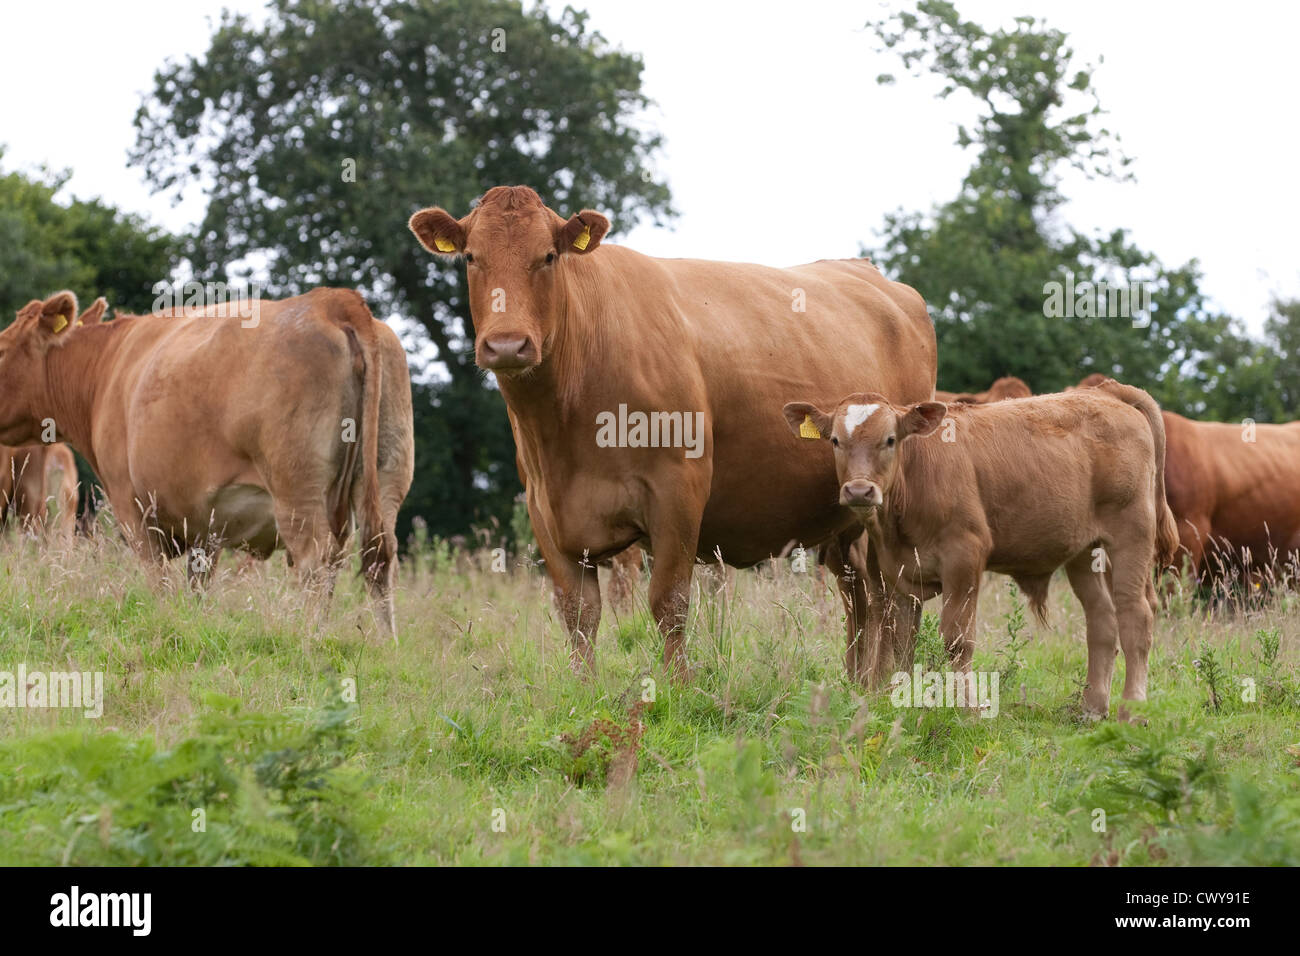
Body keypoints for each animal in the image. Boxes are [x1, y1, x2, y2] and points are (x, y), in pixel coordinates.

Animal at [0, 289, 414, 633]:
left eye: (1, 349)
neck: (106, 367)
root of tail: (332, 300)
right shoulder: (206, 524)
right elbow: (197, 588)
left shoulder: (133, 508)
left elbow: (160, 586)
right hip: (387, 476)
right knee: (380, 557)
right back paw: (383, 645)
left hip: (297, 492)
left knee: (316, 560)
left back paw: (310, 638)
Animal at [409, 185, 937, 675]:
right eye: (471, 257)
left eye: (549, 256)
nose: (506, 344)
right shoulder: (546, 508)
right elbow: (578, 613)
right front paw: (583, 688)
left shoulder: (677, 490)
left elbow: (669, 602)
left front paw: (675, 687)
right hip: (846, 521)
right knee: (858, 597)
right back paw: (856, 682)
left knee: (888, 598)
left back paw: (882, 682)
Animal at [781, 380, 1179, 716]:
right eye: (835, 440)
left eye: (890, 439)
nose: (859, 491)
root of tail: (1106, 391)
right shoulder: (900, 575)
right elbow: (902, 642)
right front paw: (905, 702)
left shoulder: (964, 558)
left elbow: (957, 640)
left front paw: (966, 709)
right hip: (1085, 553)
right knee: (1102, 620)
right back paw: (1093, 707)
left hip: (1131, 537)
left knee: (1136, 616)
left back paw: (1132, 710)